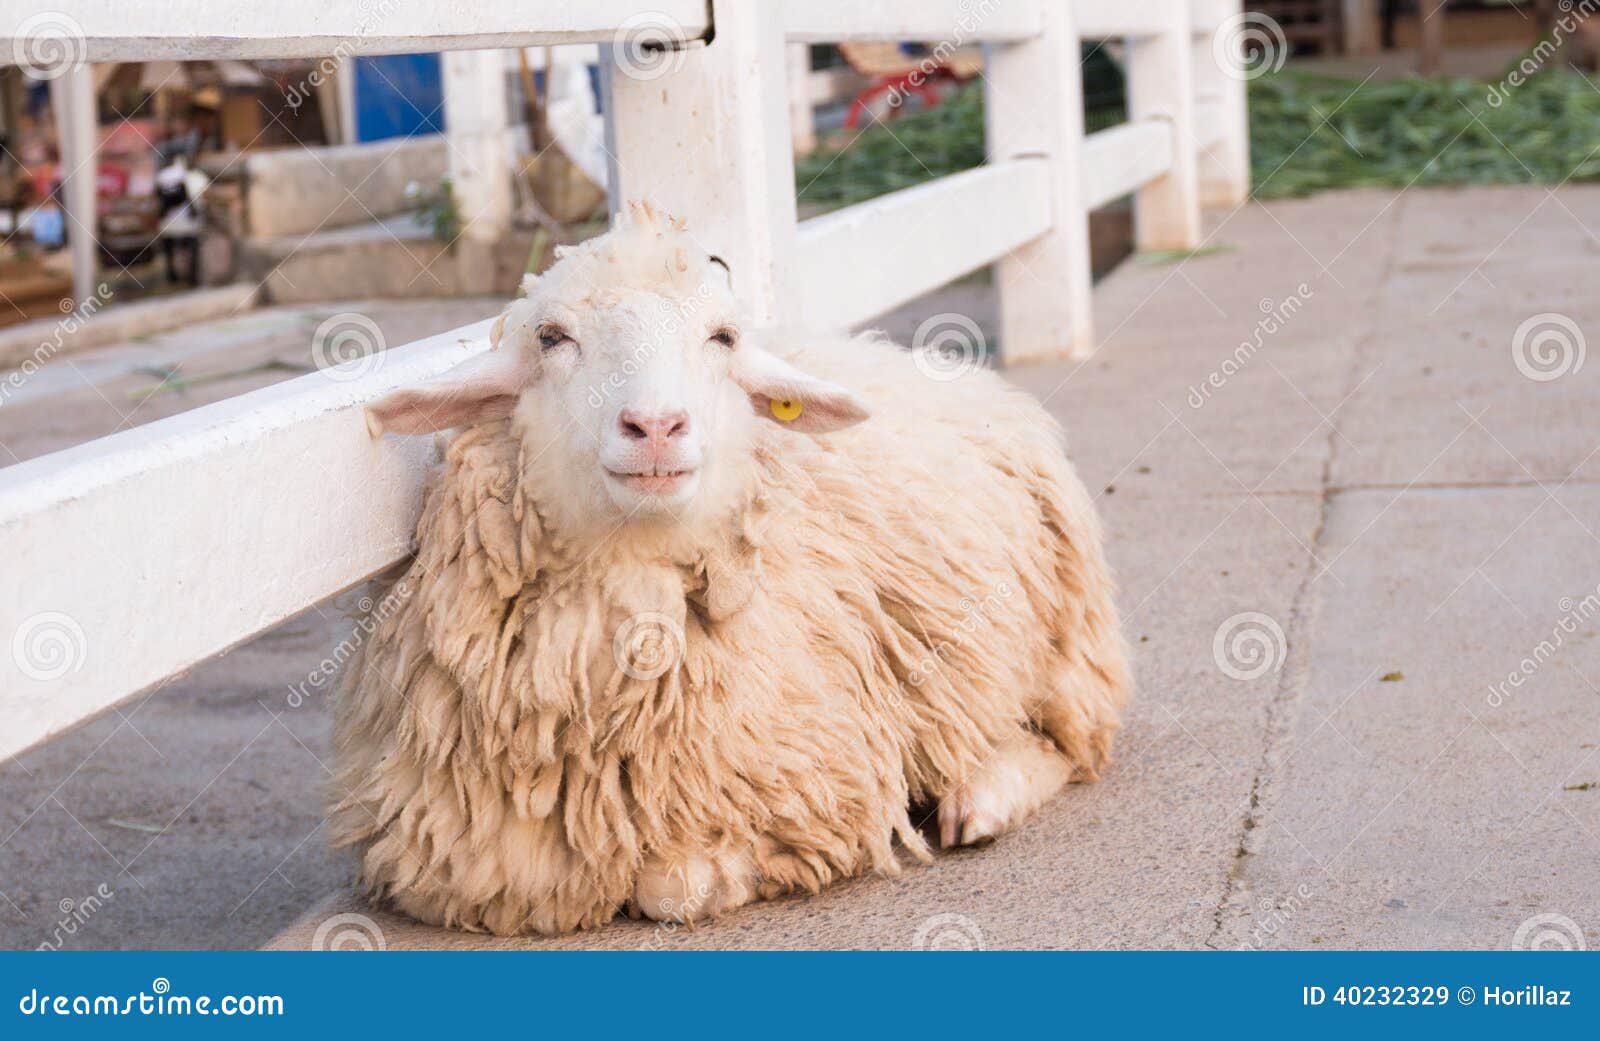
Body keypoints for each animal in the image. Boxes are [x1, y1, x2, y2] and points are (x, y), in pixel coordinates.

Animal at [331, 204, 1129, 936]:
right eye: (552, 338)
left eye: (722, 338)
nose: (656, 427)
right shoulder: (464, 858)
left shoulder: (824, 778)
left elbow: (676, 886)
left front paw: (707, 872)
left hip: (1063, 644)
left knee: (1069, 741)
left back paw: (983, 795)